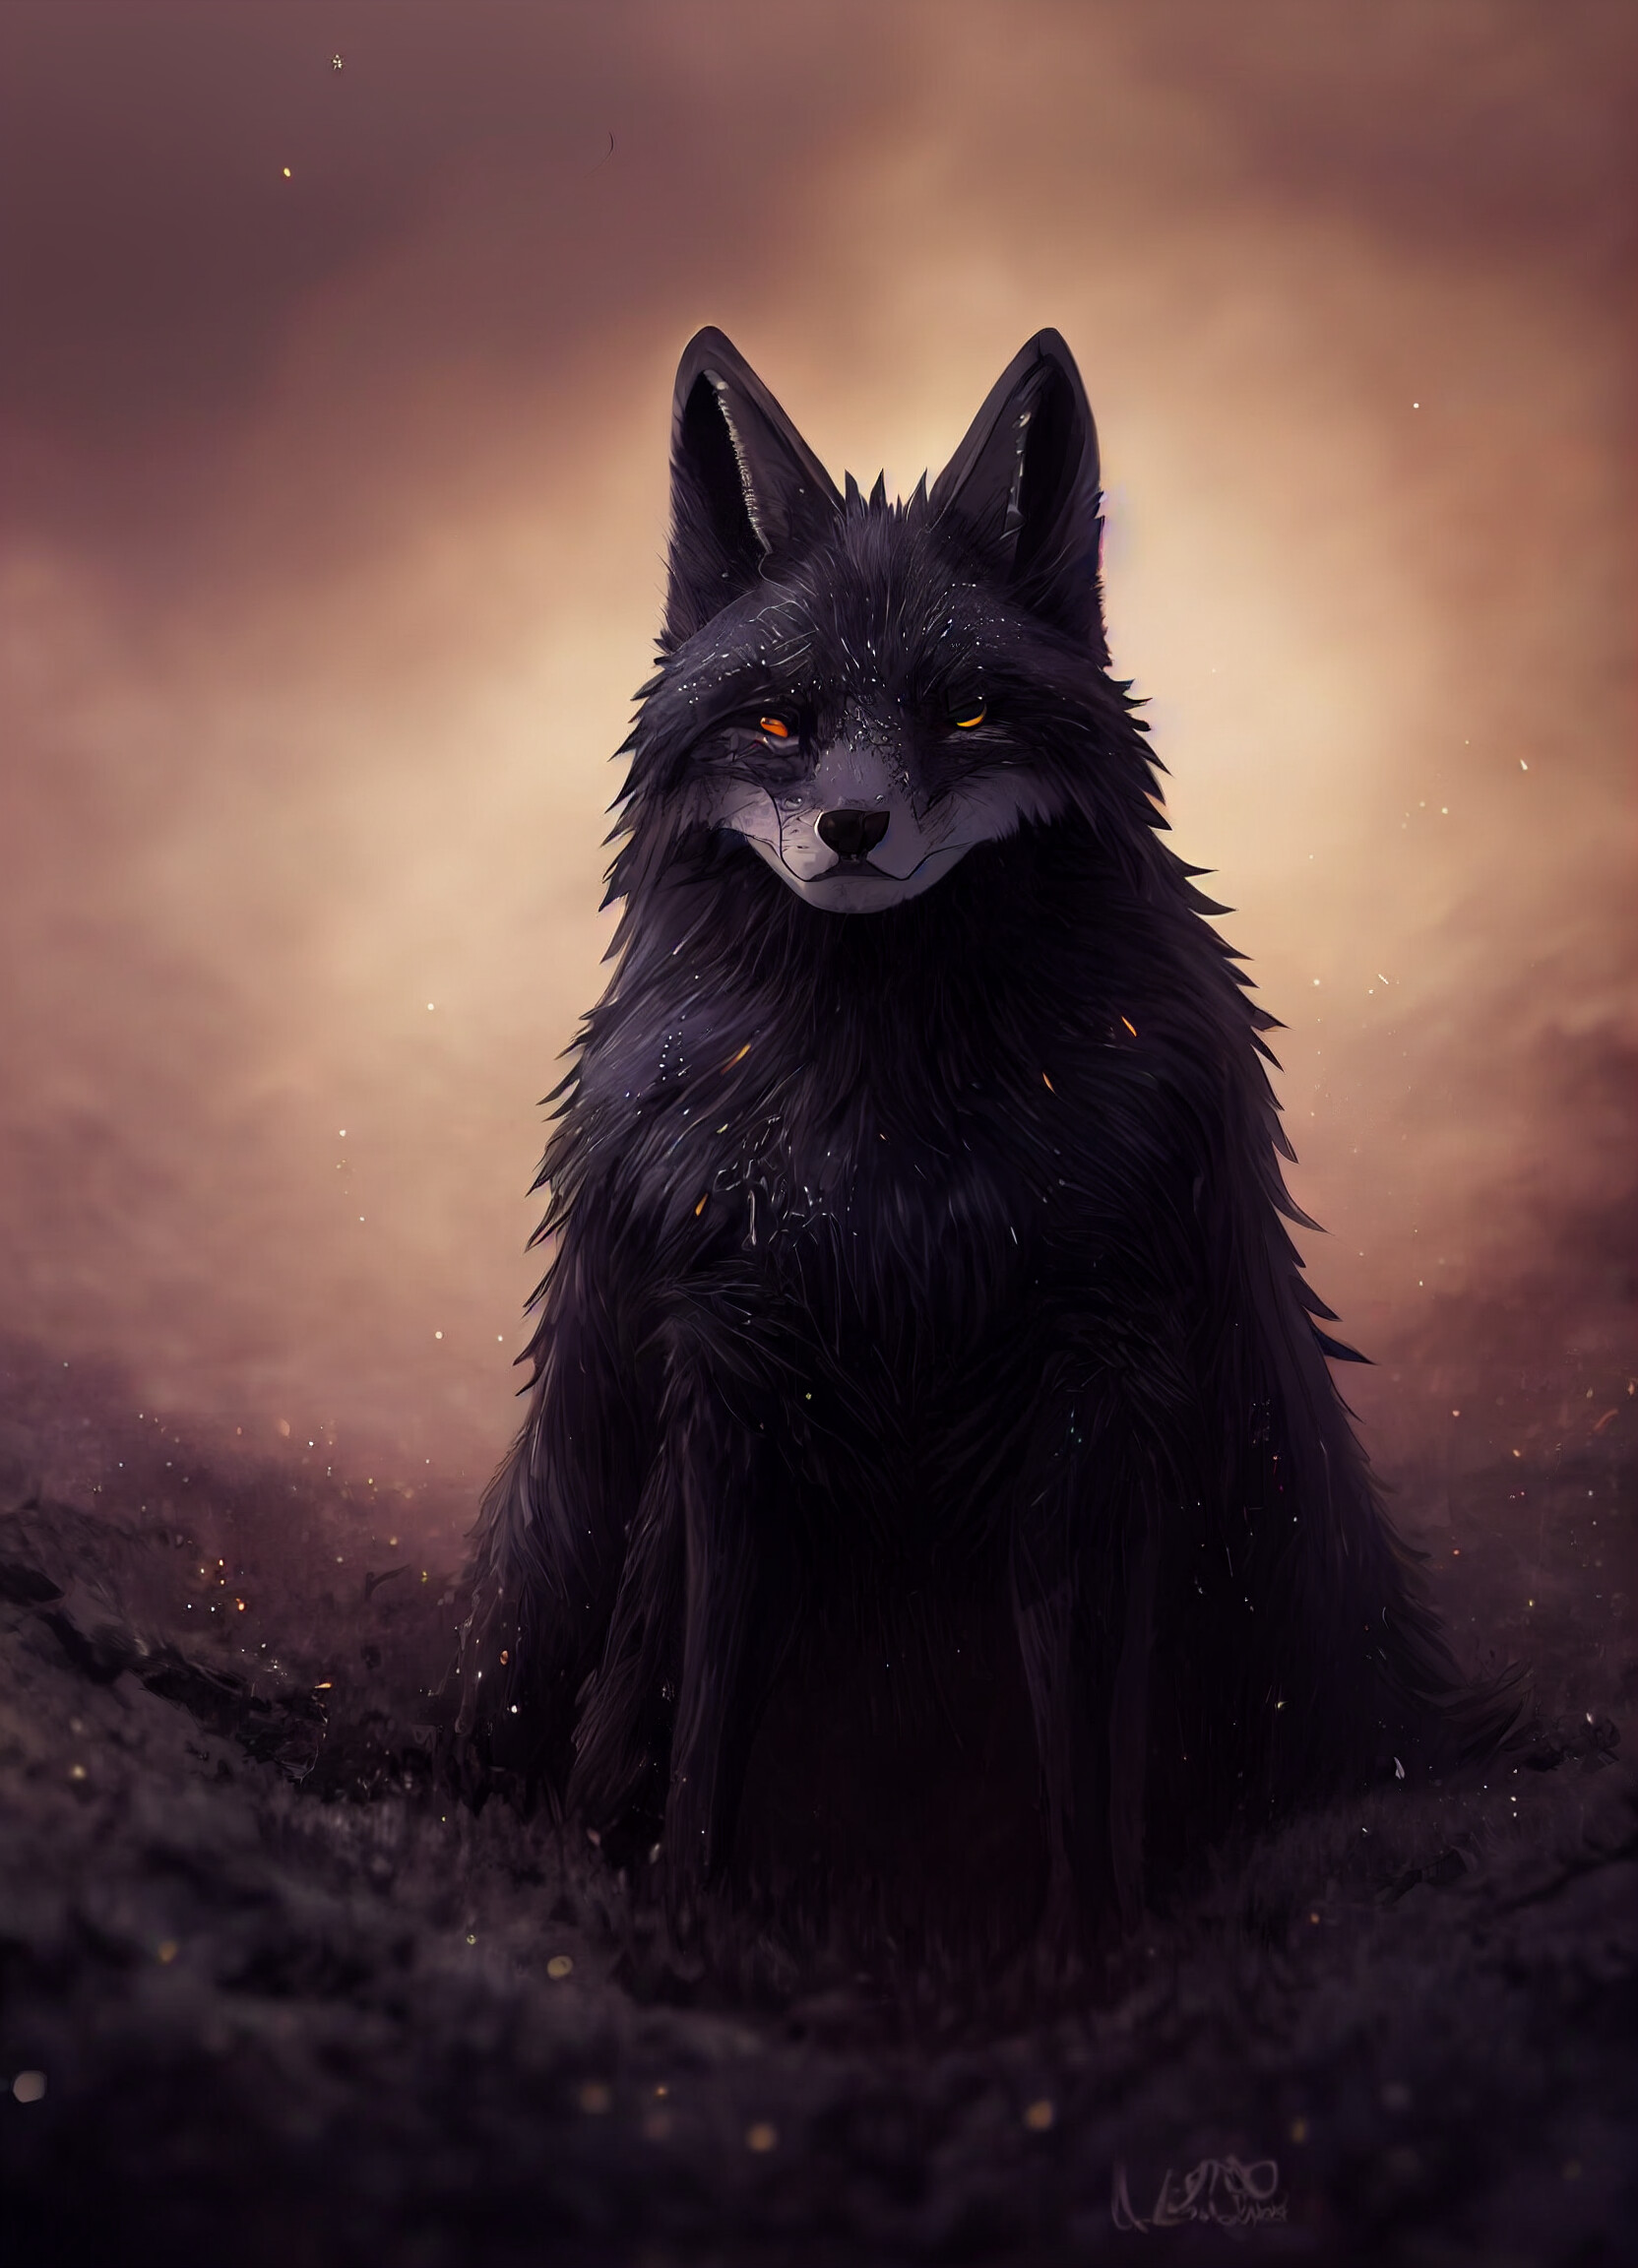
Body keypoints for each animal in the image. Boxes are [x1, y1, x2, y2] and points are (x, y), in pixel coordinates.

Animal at [452, 327, 1505, 1958]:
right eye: (779, 719)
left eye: (964, 713)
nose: (855, 831)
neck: (888, 1153)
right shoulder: (730, 1383)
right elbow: (703, 1717)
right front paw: (687, 1911)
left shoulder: (1096, 1384)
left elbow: (1086, 1749)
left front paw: (1091, 1958)